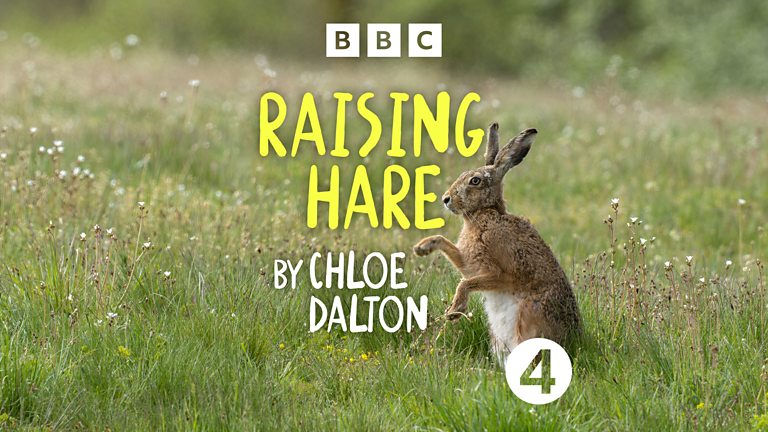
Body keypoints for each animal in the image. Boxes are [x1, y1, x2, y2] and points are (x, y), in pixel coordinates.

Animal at [413, 122, 581, 364]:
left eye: (475, 181)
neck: (486, 213)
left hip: (529, 315)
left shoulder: (500, 274)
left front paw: (454, 311)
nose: (446, 199)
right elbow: (449, 251)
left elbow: (466, 283)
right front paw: (422, 247)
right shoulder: (470, 264)